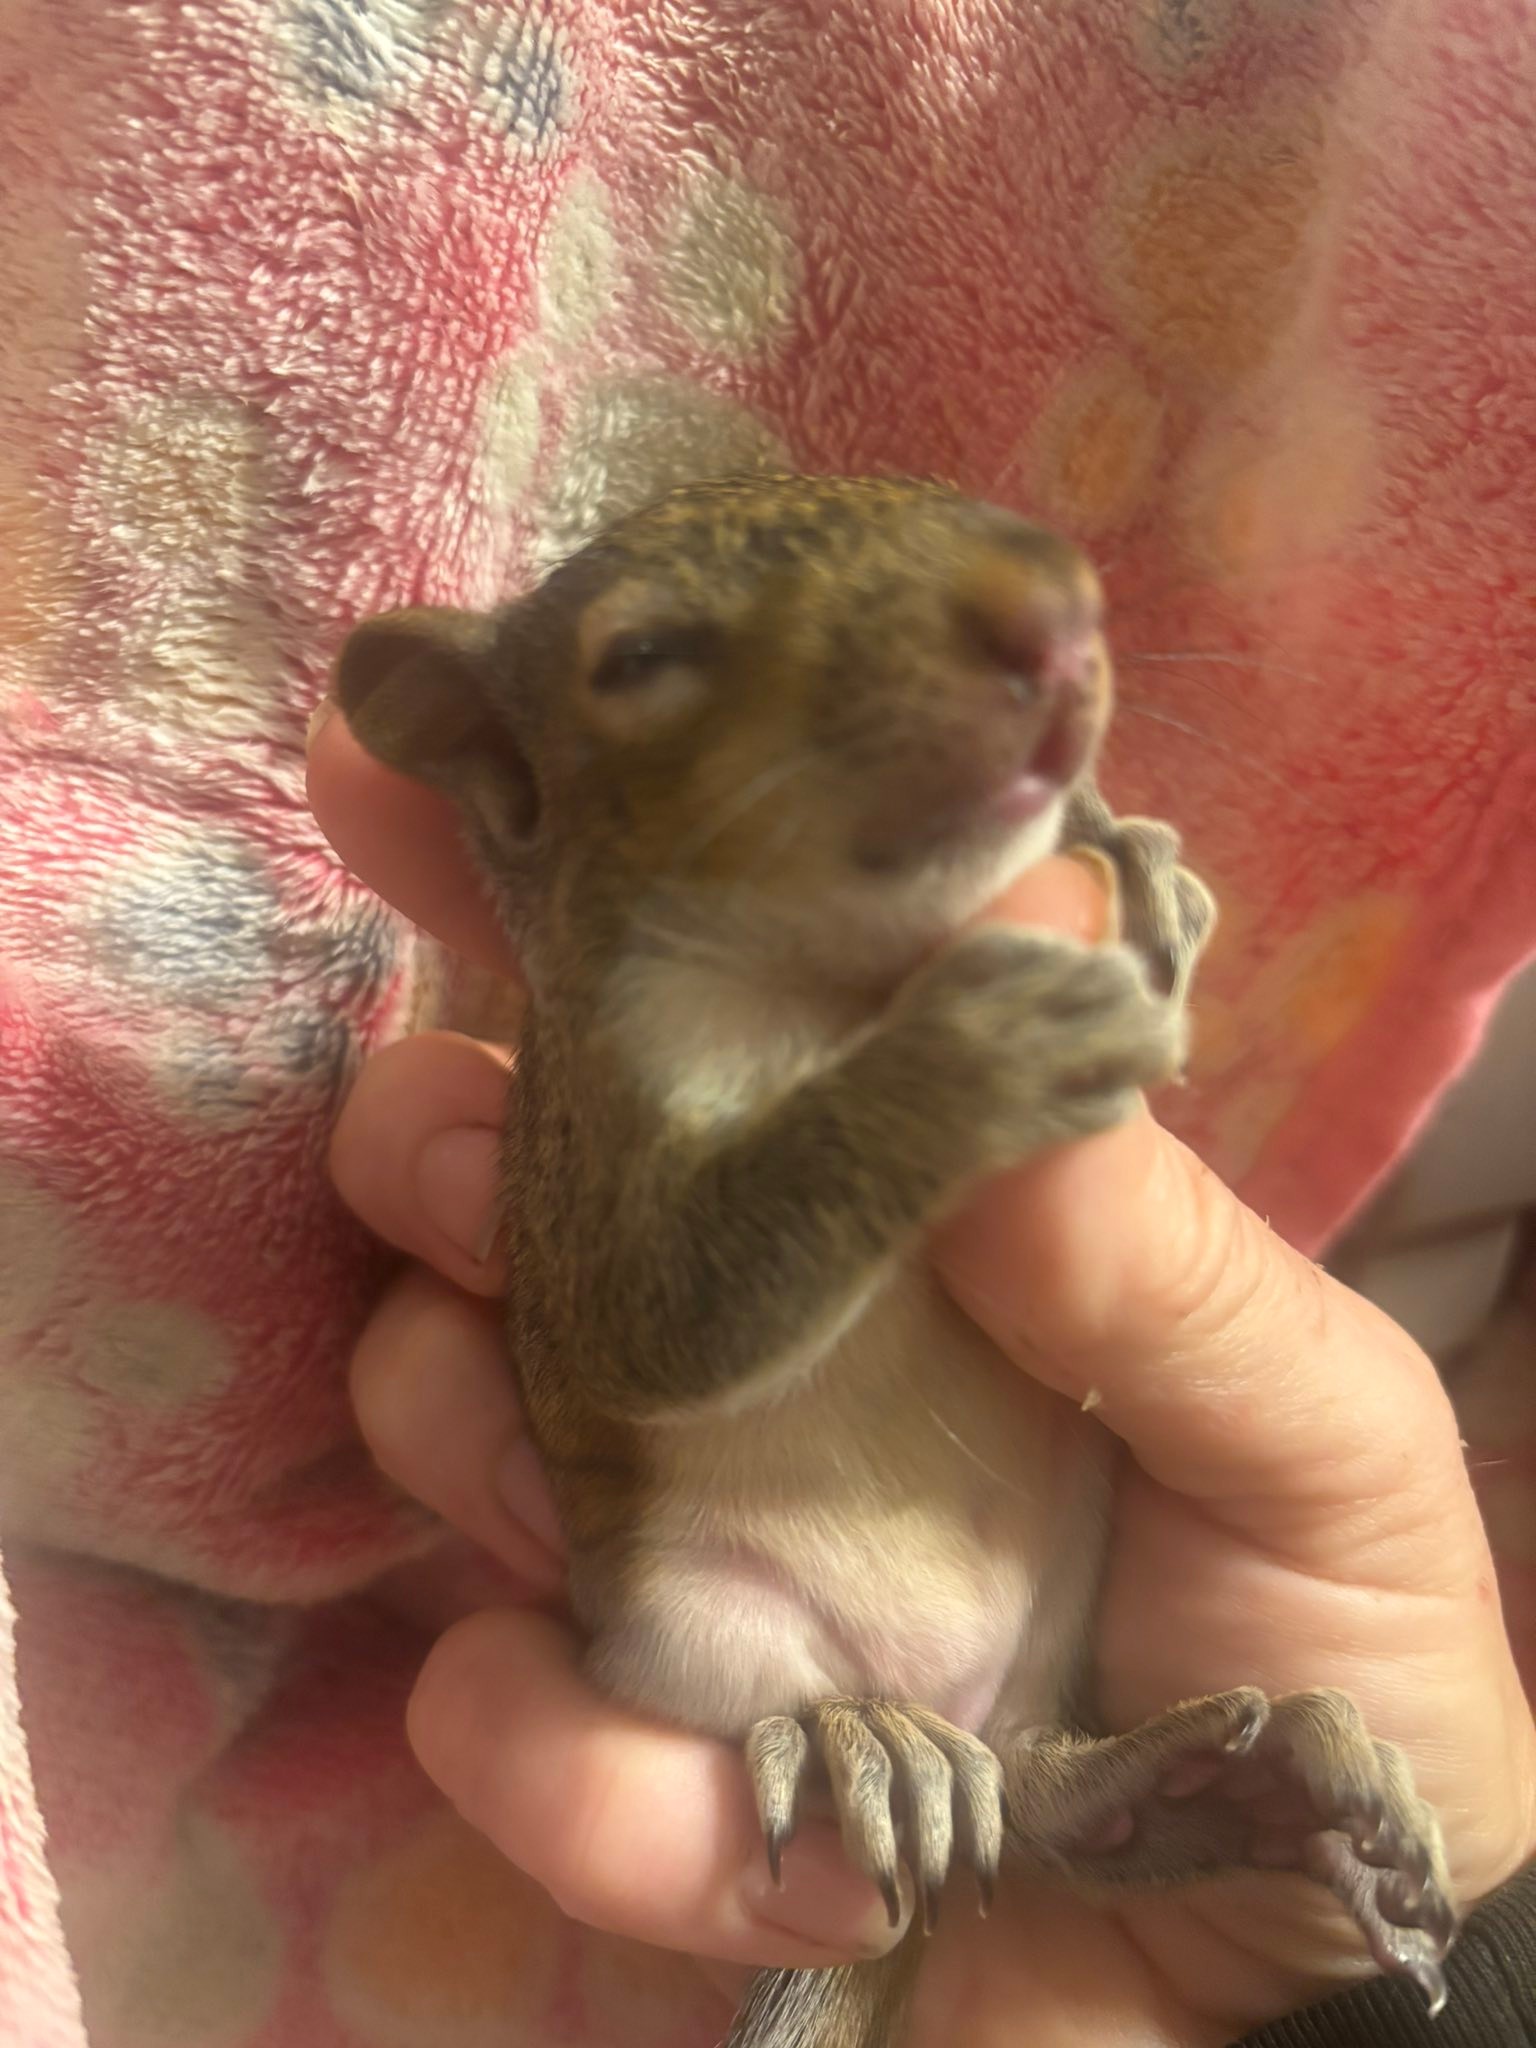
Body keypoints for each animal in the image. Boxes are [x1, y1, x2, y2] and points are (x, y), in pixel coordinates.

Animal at [336, 474, 1456, 2048]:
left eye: (951, 501)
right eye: (641, 658)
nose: (1054, 618)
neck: (831, 981)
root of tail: (956, 1706)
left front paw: (1139, 866)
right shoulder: (593, 1170)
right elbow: (672, 1306)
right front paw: (974, 1052)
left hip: (1069, 1567)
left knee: (1049, 1804)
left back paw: (1246, 1775)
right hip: (690, 1617)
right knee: (851, 1725)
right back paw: (867, 1735)